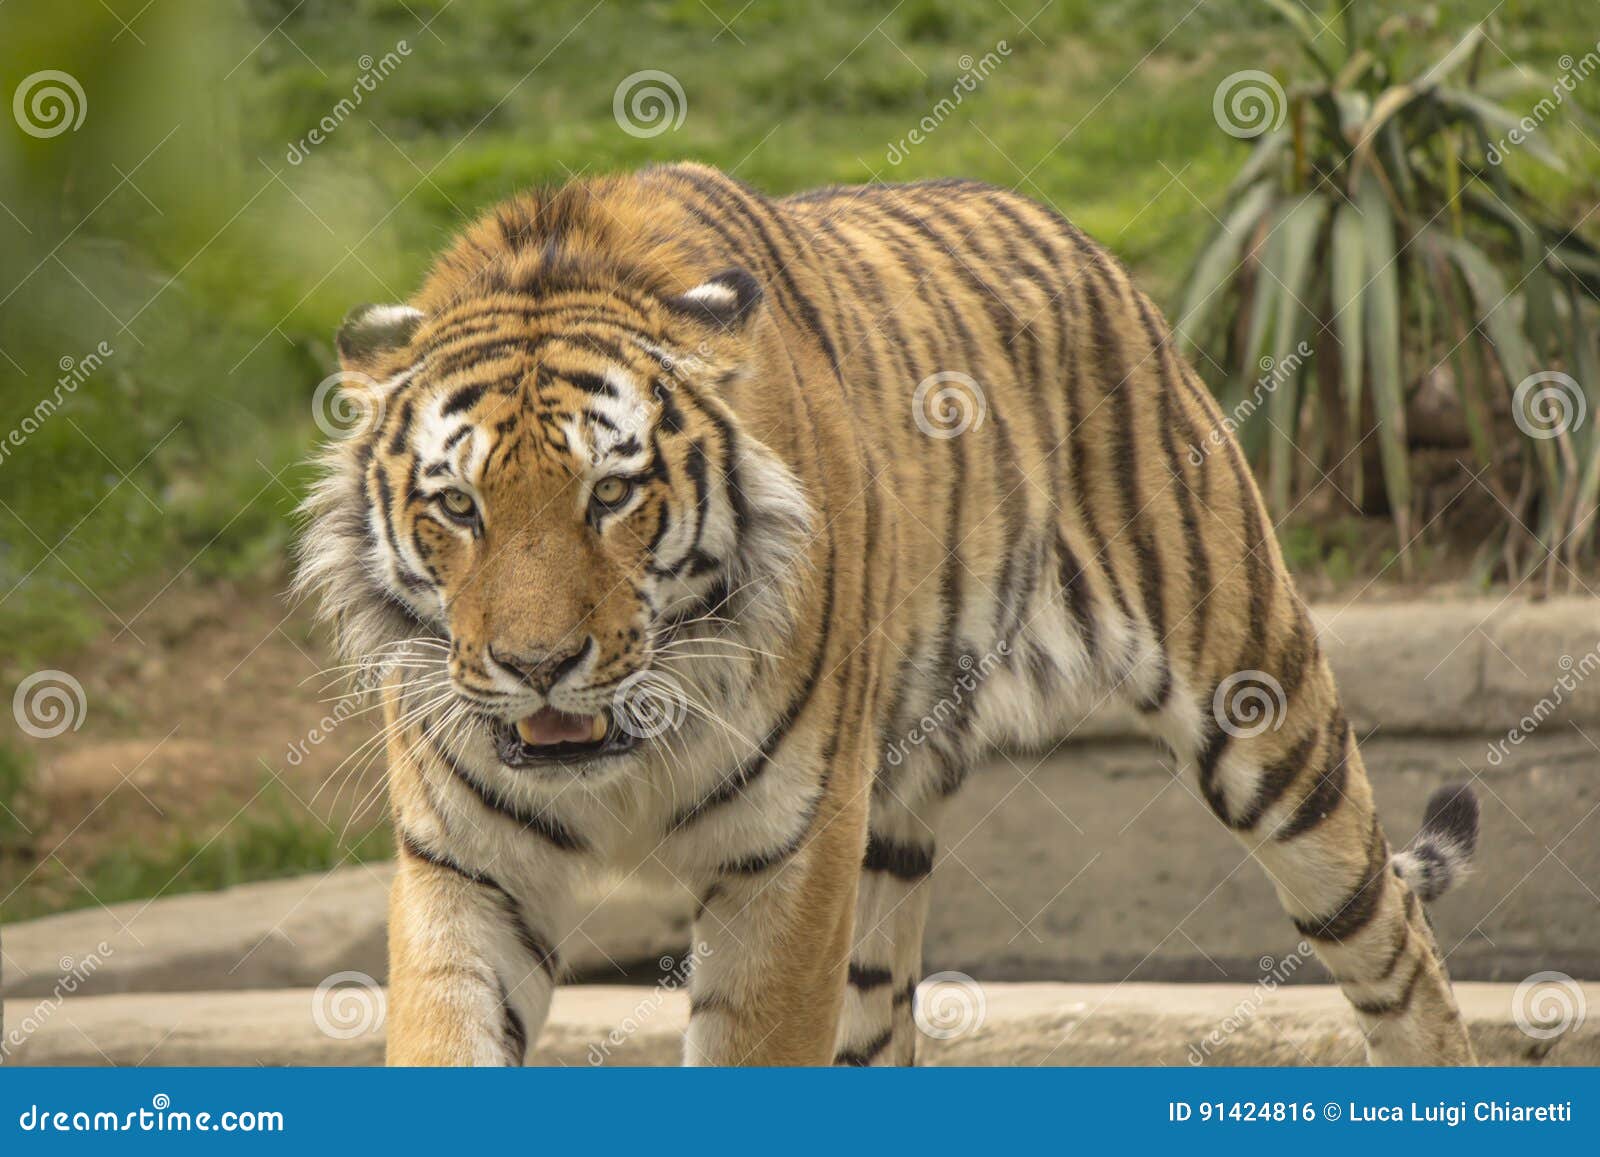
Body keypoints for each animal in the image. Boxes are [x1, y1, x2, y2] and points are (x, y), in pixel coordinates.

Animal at [296, 161, 1482, 1067]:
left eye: (613, 493)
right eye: (459, 505)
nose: (538, 664)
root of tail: (1063, 230)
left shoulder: (785, 859)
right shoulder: (465, 868)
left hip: (1261, 712)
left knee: (1397, 946)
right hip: (887, 831)